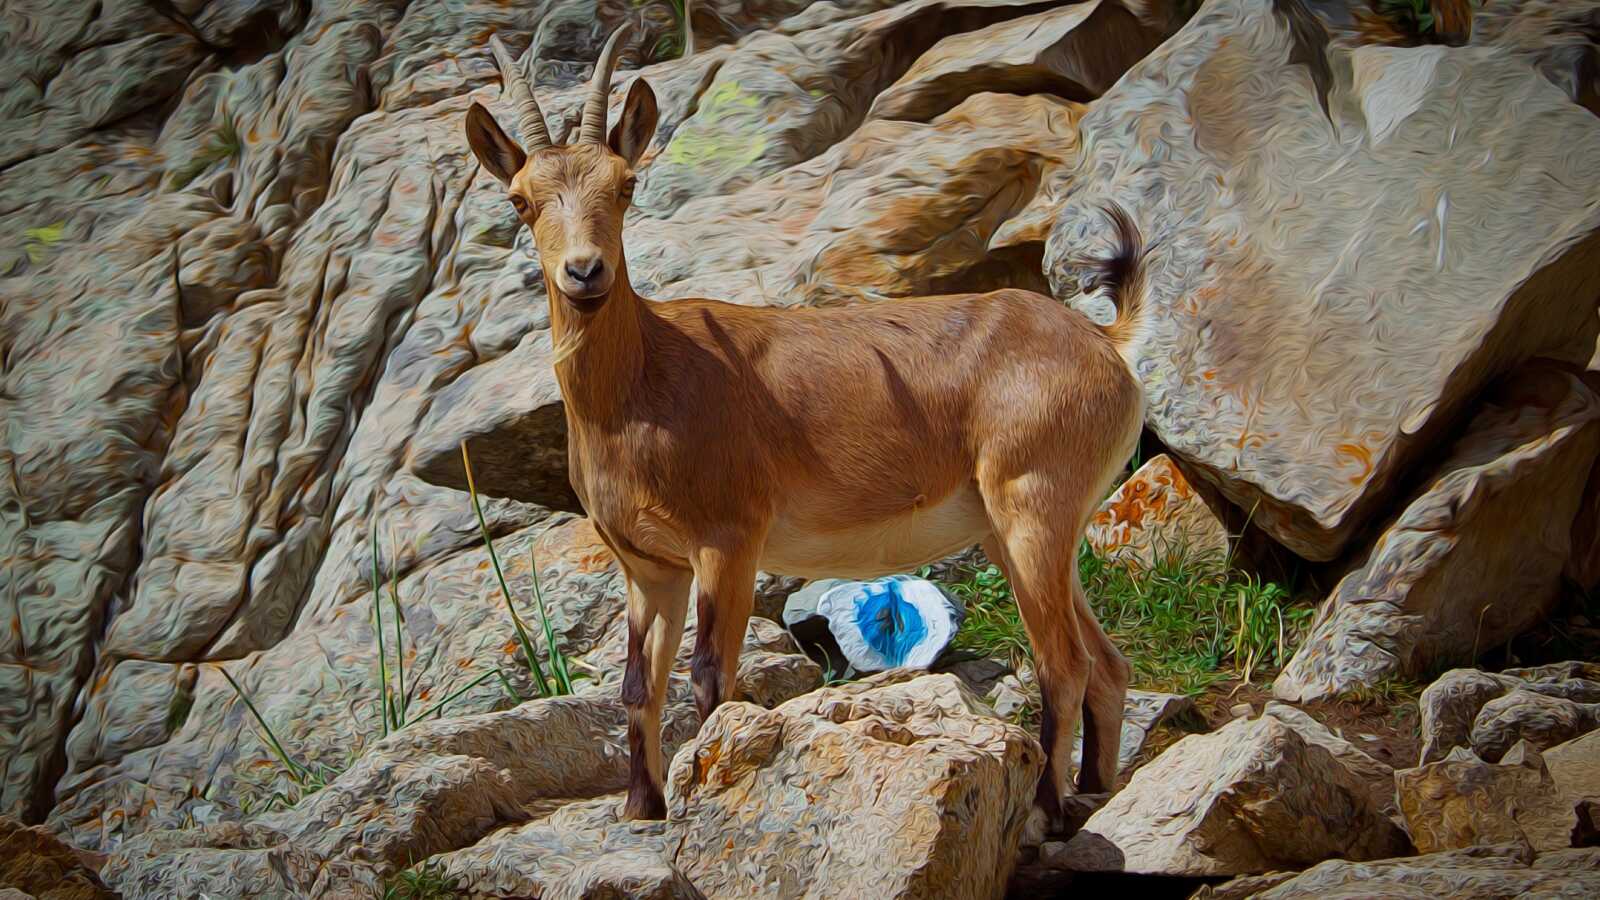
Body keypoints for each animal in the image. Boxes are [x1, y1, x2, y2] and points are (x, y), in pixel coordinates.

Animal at [463, 24, 1148, 825]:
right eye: (521, 198)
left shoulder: (728, 541)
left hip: (1034, 508)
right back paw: (1095, 788)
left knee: (1062, 661)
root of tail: (1105, 342)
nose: (584, 273)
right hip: (1017, 533)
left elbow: (710, 675)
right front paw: (641, 808)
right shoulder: (649, 568)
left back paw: (1049, 806)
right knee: (1106, 662)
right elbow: (637, 686)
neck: (644, 381)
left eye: (625, 184)